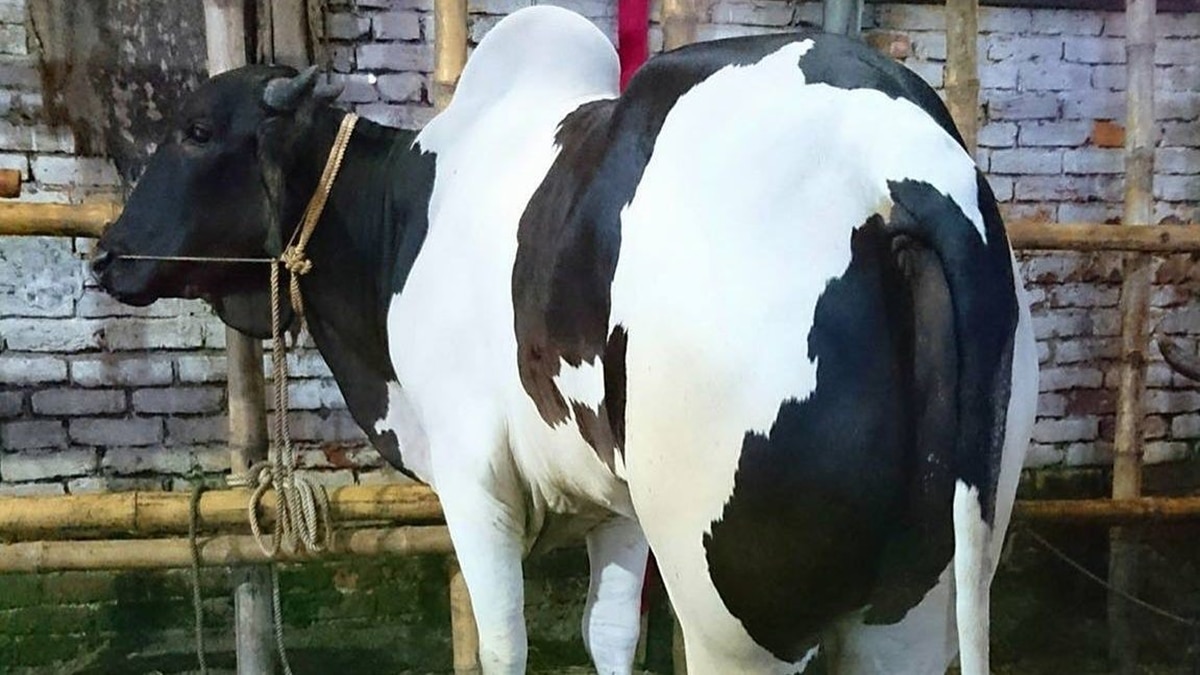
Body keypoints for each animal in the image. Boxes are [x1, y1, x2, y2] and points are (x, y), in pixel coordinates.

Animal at [92, 6, 1037, 674]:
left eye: (196, 131)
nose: (106, 251)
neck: (400, 216)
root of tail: (897, 161)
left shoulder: (475, 481)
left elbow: (502, 642)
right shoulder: (616, 504)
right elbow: (610, 633)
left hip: (733, 610)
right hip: (916, 601)